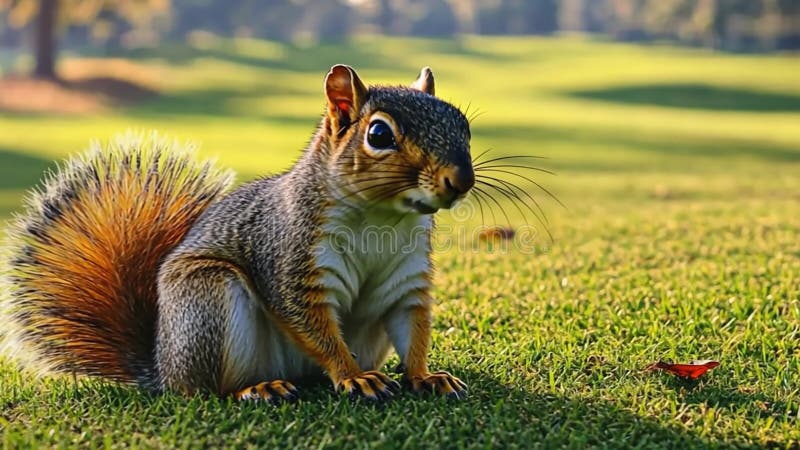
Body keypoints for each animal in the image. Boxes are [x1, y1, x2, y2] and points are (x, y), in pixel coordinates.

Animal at [1, 65, 475, 402]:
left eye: (463, 125)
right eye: (378, 134)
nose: (461, 180)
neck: (382, 219)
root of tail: (162, 366)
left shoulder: (406, 278)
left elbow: (412, 327)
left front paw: (425, 376)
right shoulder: (288, 259)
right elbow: (313, 326)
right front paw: (355, 377)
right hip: (208, 300)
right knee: (207, 390)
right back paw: (256, 388)